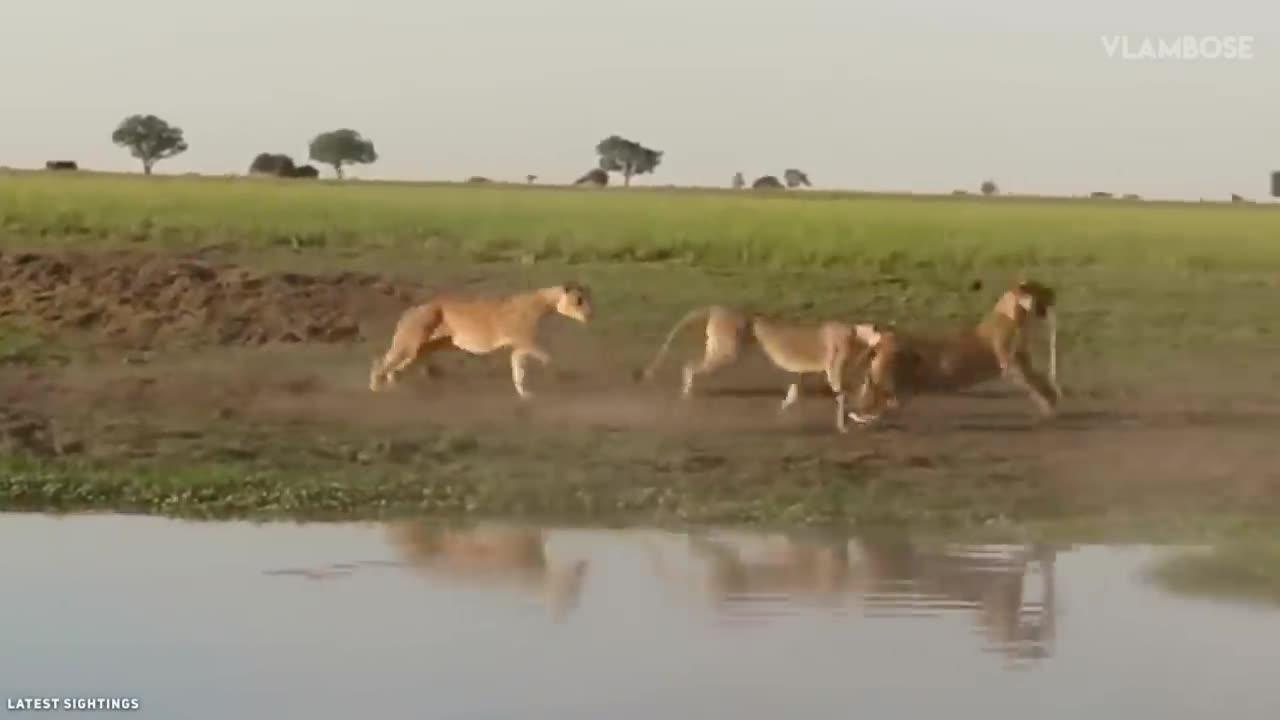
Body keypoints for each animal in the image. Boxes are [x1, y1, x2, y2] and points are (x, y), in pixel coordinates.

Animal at [369, 282, 592, 399]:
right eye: (579, 300)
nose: (590, 313)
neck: (542, 304)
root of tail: (412, 309)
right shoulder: (527, 342)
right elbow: (547, 357)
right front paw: (556, 377)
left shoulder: (518, 346)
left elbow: (517, 367)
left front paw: (523, 392)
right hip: (411, 344)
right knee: (381, 363)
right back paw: (376, 389)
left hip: (425, 348)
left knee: (397, 368)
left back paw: (400, 388)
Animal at [634, 305, 887, 433]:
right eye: (880, 330)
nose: (885, 334)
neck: (856, 333)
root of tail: (720, 309)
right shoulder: (833, 367)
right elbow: (841, 393)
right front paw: (848, 423)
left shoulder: (802, 373)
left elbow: (794, 391)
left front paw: (781, 412)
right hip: (727, 352)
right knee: (689, 367)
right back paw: (686, 396)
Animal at [848, 280, 1061, 424]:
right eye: (1041, 288)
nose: (1054, 292)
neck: (1015, 315)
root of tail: (883, 338)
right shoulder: (1012, 363)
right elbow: (1034, 382)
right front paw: (1049, 404)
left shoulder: (1023, 359)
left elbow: (1038, 379)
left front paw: (1051, 400)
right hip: (888, 380)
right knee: (872, 401)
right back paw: (865, 417)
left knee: (875, 398)